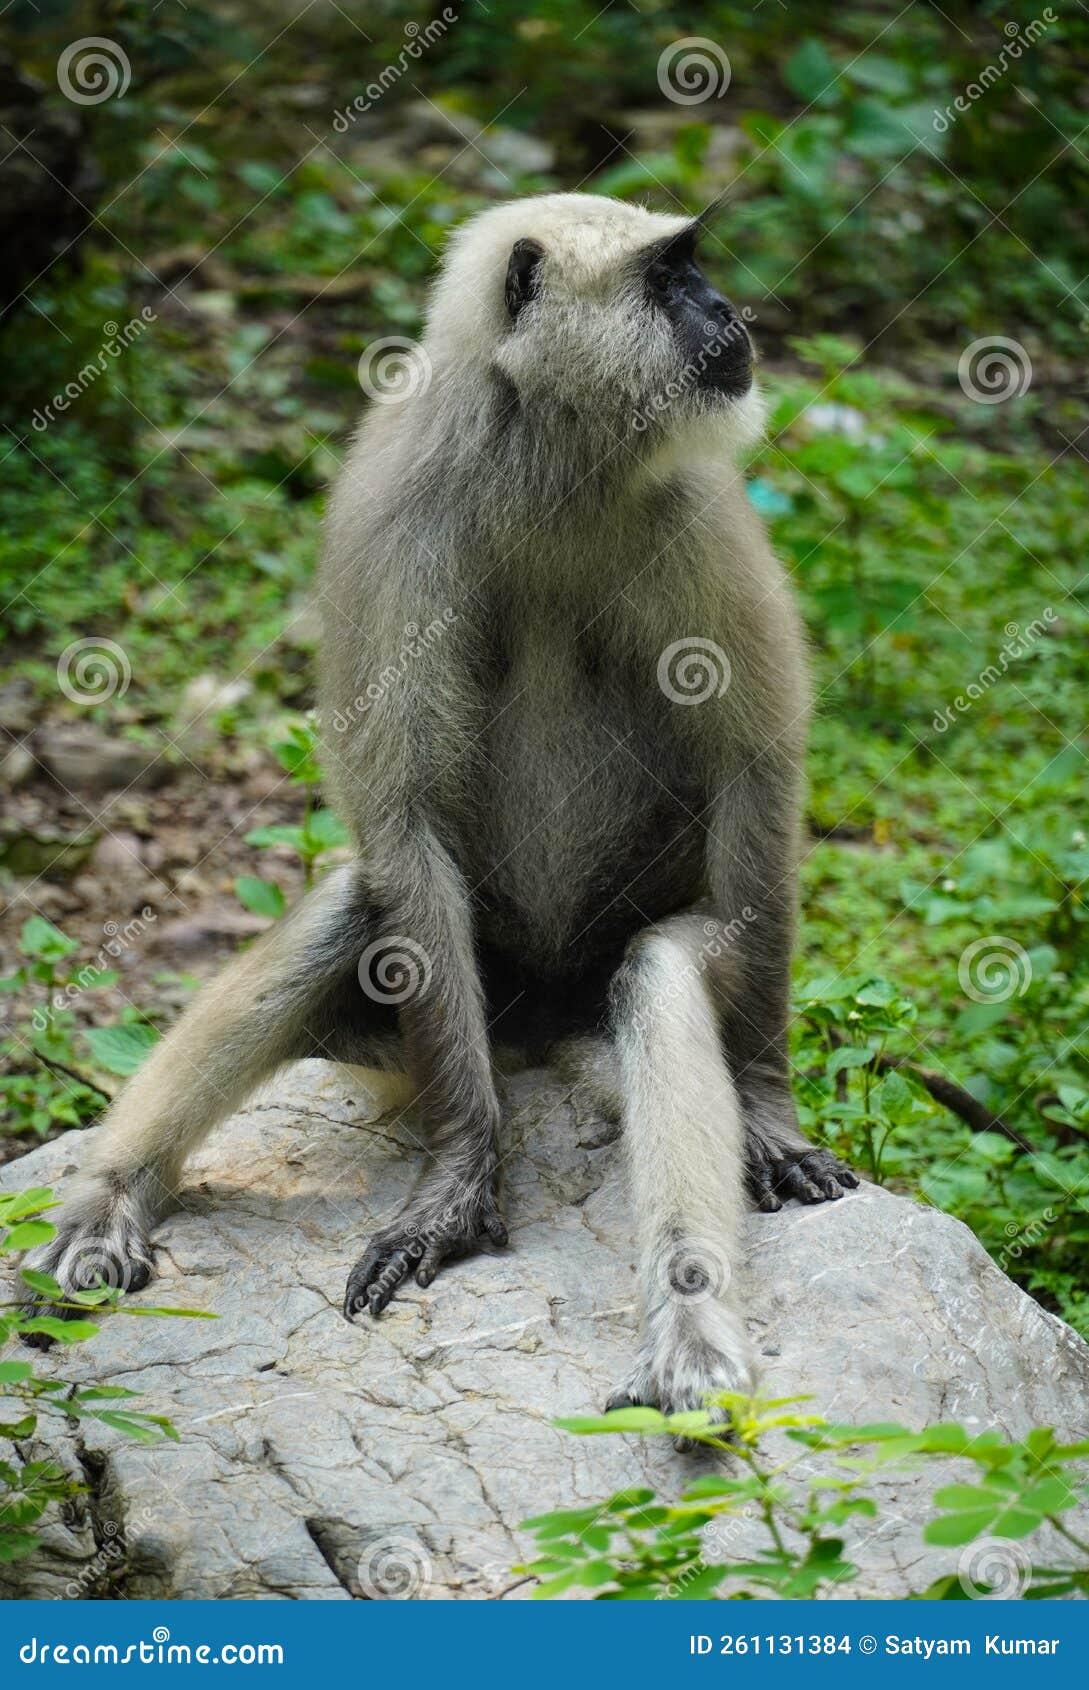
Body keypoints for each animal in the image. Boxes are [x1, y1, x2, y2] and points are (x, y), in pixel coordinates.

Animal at [23, 193, 857, 1421]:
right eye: (672, 278)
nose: (728, 313)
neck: (552, 461)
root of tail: (541, 1019)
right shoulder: (397, 507)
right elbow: (404, 819)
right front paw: (459, 1186)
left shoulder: (696, 504)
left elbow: (755, 765)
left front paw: (762, 1106)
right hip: (428, 1026)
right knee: (358, 907)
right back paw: (106, 1201)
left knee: (654, 969)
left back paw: (689, 1336)